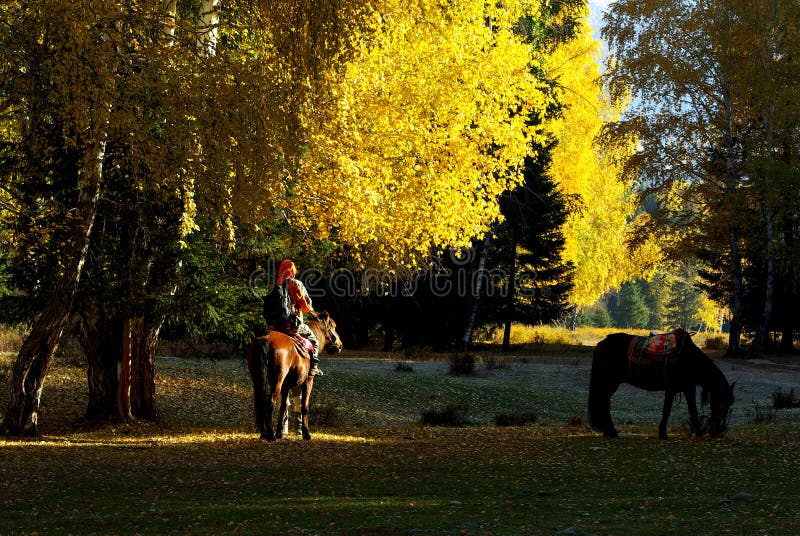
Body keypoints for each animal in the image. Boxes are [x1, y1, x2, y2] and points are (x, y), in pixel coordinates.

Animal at [246, 311, 342, 441]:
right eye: (333, 327)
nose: (339, 345)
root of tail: (265, 339)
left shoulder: (286, 386)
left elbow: (283, 407)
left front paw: (280, 433)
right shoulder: (308, 382)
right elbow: (304, 407)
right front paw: (306, 433)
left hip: (258, 380)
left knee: (260, 403)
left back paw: (264, 433)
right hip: (277, 381)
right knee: (270, 403)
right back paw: (270, 435)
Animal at [588, 328, 735, 439]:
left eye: (728, 406)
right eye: (722, 402)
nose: (720, 431)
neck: (689, 360)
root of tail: (601, 344)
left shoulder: (688, 388)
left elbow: (693, 410)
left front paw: (698, 433)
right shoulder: (671, 389)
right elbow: (667, 410)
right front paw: (663, 433)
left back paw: (608, 431)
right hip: (610, 382)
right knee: (603, 402)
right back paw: (611, 432)